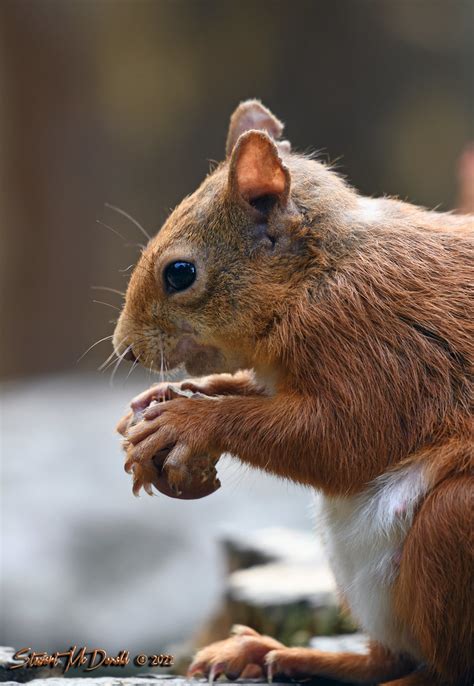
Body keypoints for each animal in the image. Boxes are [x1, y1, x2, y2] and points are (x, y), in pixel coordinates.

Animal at [113, 100, 473, 685]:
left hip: (453, 523)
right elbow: (245, 391)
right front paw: (163, 399)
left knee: (443, 669)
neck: (318, 276)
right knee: (385, 656)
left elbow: (342, 441)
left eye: (180, 273)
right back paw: (273, 652)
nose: (124, 350)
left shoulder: (376, 346)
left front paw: (188, 420)